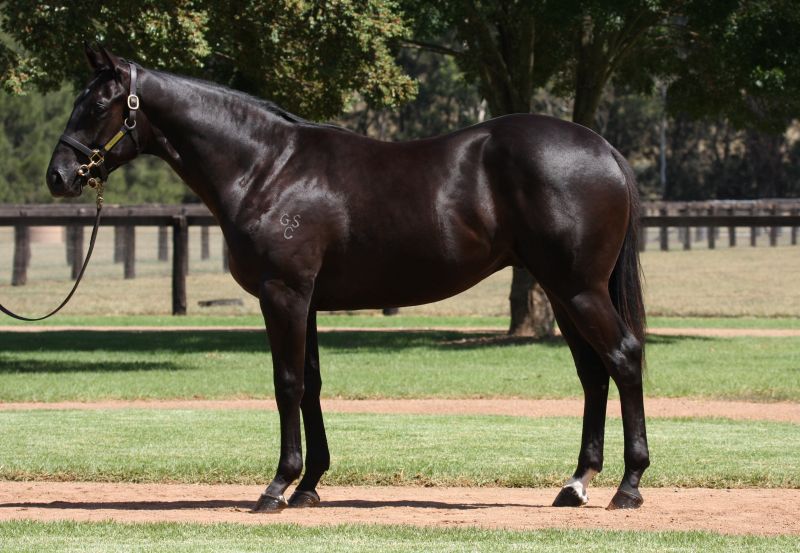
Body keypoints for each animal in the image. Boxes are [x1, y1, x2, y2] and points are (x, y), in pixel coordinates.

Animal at [46, 45, 650, 512]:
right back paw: (576, 485)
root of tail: (603, 148)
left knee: (623, 357)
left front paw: (277, 486)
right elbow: (312, 384)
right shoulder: (307, 300)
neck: (267, 168)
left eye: (96, 104)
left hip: (578, 288)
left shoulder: (283, 294)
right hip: (561, 291)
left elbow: (287, 383)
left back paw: (628, 486)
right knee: (593, 374)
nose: (58, 176)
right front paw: (310, 485)